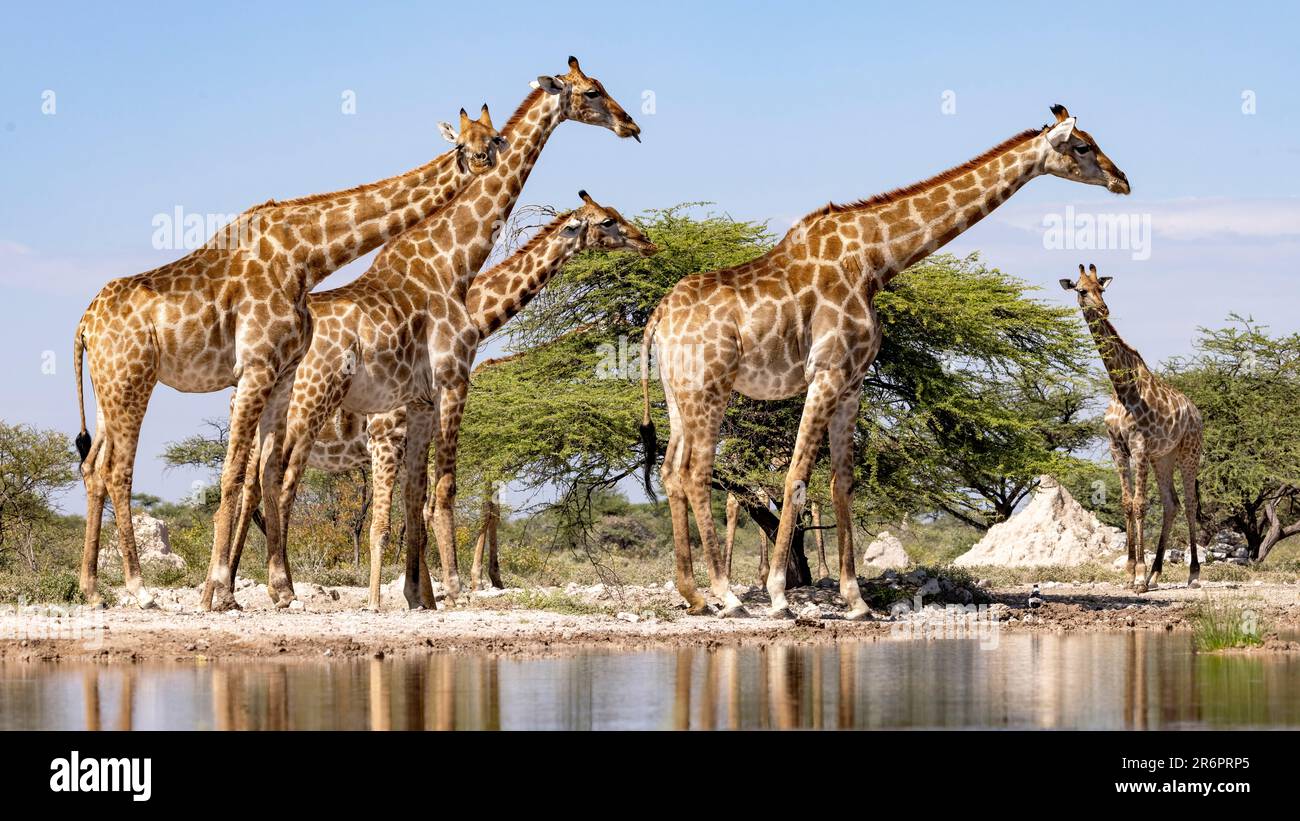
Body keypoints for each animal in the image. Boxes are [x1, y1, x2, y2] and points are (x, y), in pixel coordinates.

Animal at [73, 106, 506, 608]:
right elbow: (234, 476)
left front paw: (279, 590)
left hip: (107, 389)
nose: (481, 159)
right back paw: (139, 589)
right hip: (133, 380)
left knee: (93, 468)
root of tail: (84, 325)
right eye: (461, 142)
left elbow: (269, 474)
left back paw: (91, 589)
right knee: (118, 471)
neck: (306, 257)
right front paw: (217, 591)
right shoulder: (255, 368)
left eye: (494, 137)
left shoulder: (283, 375)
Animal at [211, 60, 642, 610]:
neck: (453, 265)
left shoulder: (419, 406)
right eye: (593, 91)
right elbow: (440, 494)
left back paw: (229, 589)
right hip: (310, 406)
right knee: (278, 487)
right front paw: (447, 592)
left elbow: (417, 499)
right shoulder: (439, 393)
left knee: (251, 485)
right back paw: (267, 588)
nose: (632, 125)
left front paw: (421, 595)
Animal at [640, 105, 1130, 618]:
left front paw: (855, 599)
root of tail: (659, 315)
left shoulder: (853, 381)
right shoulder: (825, 372)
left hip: (678, 392)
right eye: (1083, 146)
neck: (876, 260)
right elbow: (796, 476)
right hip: (710, 387)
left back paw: (694, 594)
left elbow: (842, 482)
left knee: (671, 471)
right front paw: (778, 595)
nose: (1122, 180)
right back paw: (729, 595)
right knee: (697, 473)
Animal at [1060, 264, 1203, 591]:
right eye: (1081, 290)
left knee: (1189, 504)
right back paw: (1157, 572)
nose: (1103, 309)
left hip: (1188, 453)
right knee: (1171, 503)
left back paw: (1192, 573)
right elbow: (1126, 503)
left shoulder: (1139, 447)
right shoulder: (1117, 448)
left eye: (1101, 288)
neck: (1122, 387)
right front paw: (1130, 572)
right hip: (1163, 458)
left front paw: (1138, 575)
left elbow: (1139, 504)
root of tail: (1197, 413)